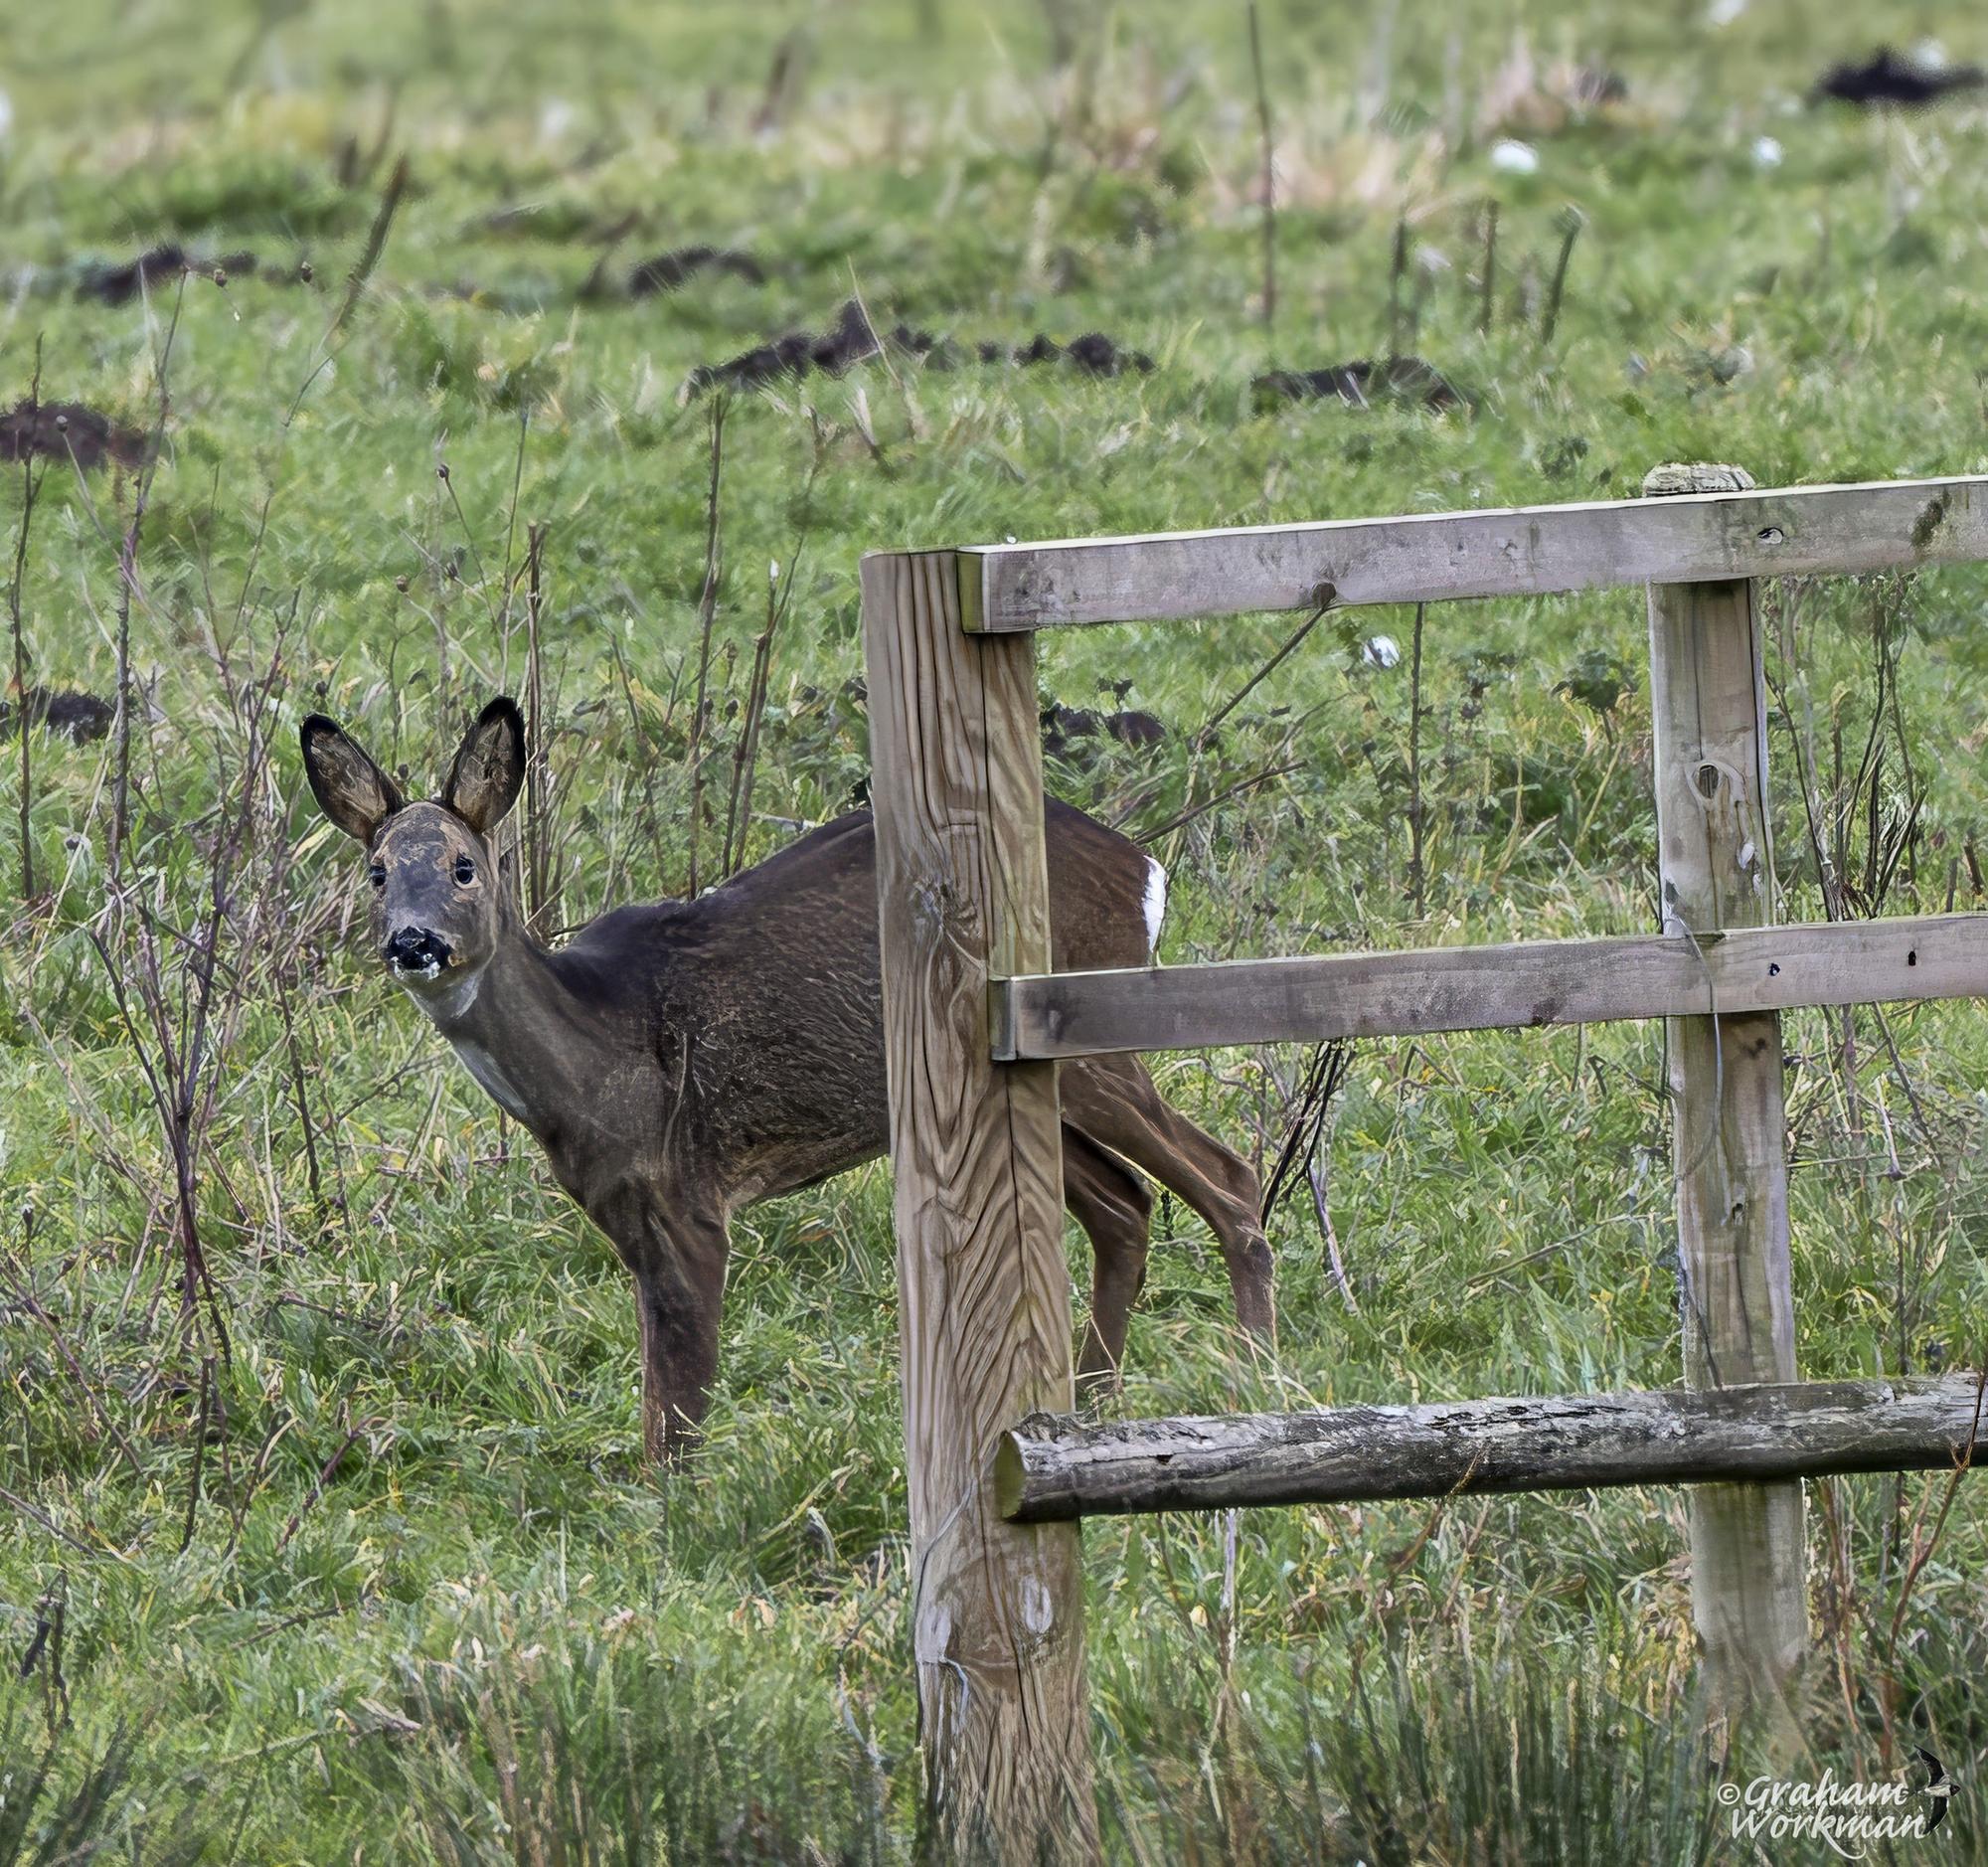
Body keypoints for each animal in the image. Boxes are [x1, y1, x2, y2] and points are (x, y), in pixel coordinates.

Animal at [300, 697, 1274, 1463]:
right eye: (377, 873)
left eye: (465, 867)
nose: (414, 942)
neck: (594, 1062)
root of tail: (1145, 870)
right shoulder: (625, 1211)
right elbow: (657, 1405)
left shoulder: (692, 1197)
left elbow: (680, 1411)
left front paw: (675, 1523)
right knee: (1125, 1203)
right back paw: (1097, 1403)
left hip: (1086, 1029)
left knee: (1226, 1173)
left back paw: (1255, 1378)